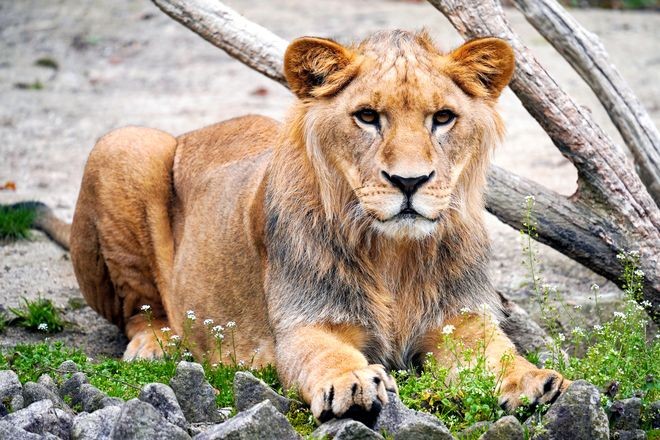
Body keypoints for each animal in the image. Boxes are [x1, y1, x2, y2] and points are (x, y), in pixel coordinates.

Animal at [15, 30, 569, 424]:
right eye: (367, 116)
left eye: (444, 118)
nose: (409, 181)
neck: (394, 254)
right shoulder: (305, 323)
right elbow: (325, 353)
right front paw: (353, 382)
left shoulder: (460, 320)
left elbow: (498, 353)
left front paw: (536, 381)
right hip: (126, 144)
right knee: (137, 310)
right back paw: (155, 345)